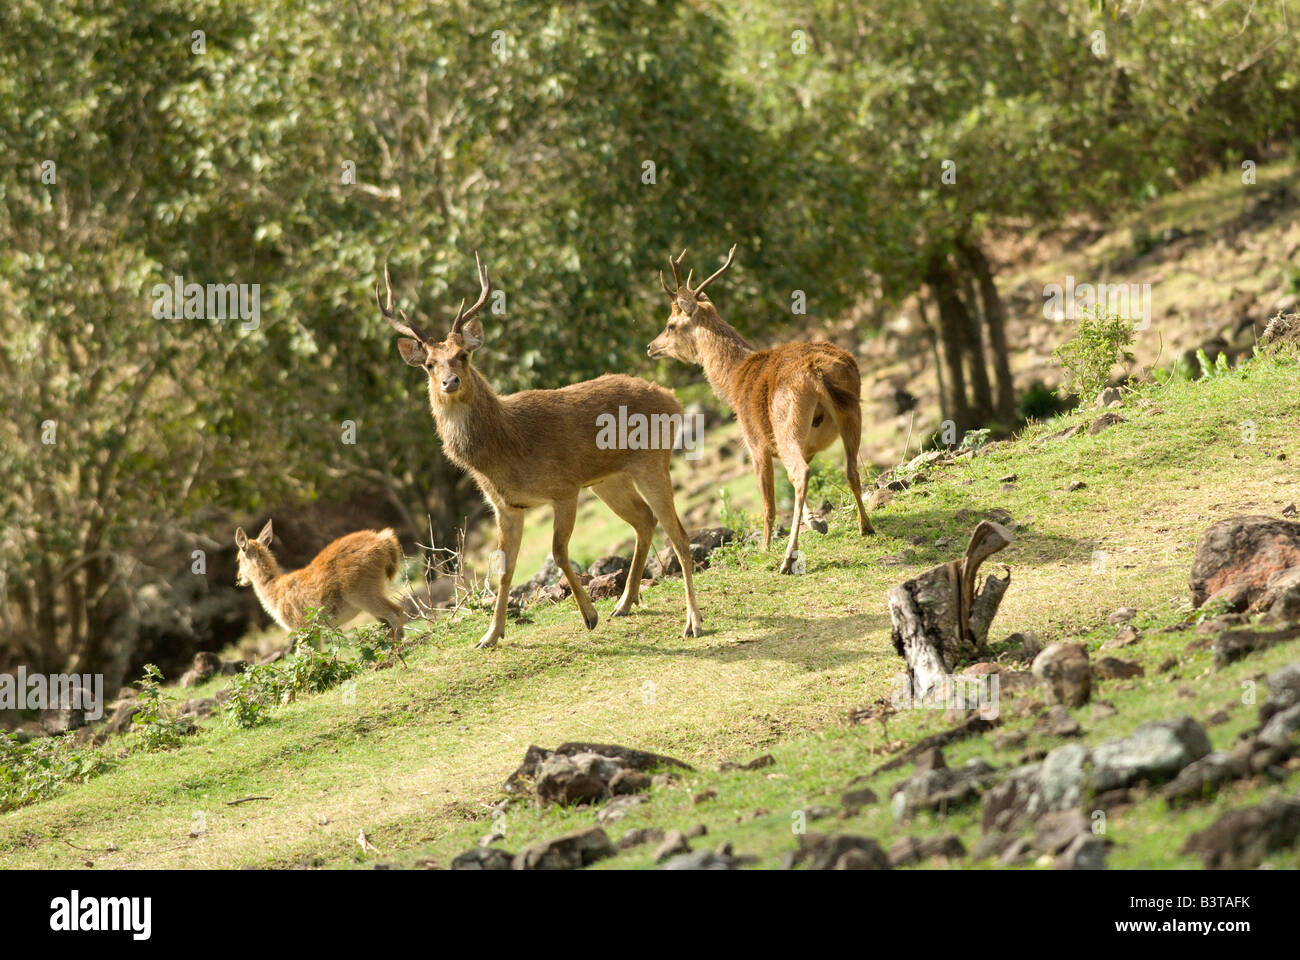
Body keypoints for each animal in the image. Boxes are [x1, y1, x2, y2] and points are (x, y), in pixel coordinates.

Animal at [234, 520, 407, 644]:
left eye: (238, 559)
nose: (239, 578)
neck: (275, 593)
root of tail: (383, 541)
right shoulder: (313, 629)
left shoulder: (301, 626)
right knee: (386, 623)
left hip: (361, 592)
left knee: (396, 612)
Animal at [376, 253, 703, 648]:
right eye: (428, 364)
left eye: (463, 355)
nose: (449, 382)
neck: (503, 450)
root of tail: (673, 399)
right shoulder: (506, 506)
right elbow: (504, 569)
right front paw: (490, 635)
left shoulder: (564, 488)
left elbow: (559, 553)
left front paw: (588, 616)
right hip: (609, 480)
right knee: (644, 520)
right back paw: (624, 603)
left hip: (651, 461)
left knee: (679, 535)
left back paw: (693, 622)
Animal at [647, 245, 874, 574]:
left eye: (670, 325)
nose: (650, 347)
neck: (734, 384)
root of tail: (815, 370)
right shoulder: (806, 444)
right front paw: (817, 522)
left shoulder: (756, 444)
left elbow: (767, 504)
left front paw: (765, 547)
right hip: (851, 411)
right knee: (850, 470)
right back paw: (865, 526)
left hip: (786, 424)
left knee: (800, 474)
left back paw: (787, 559)